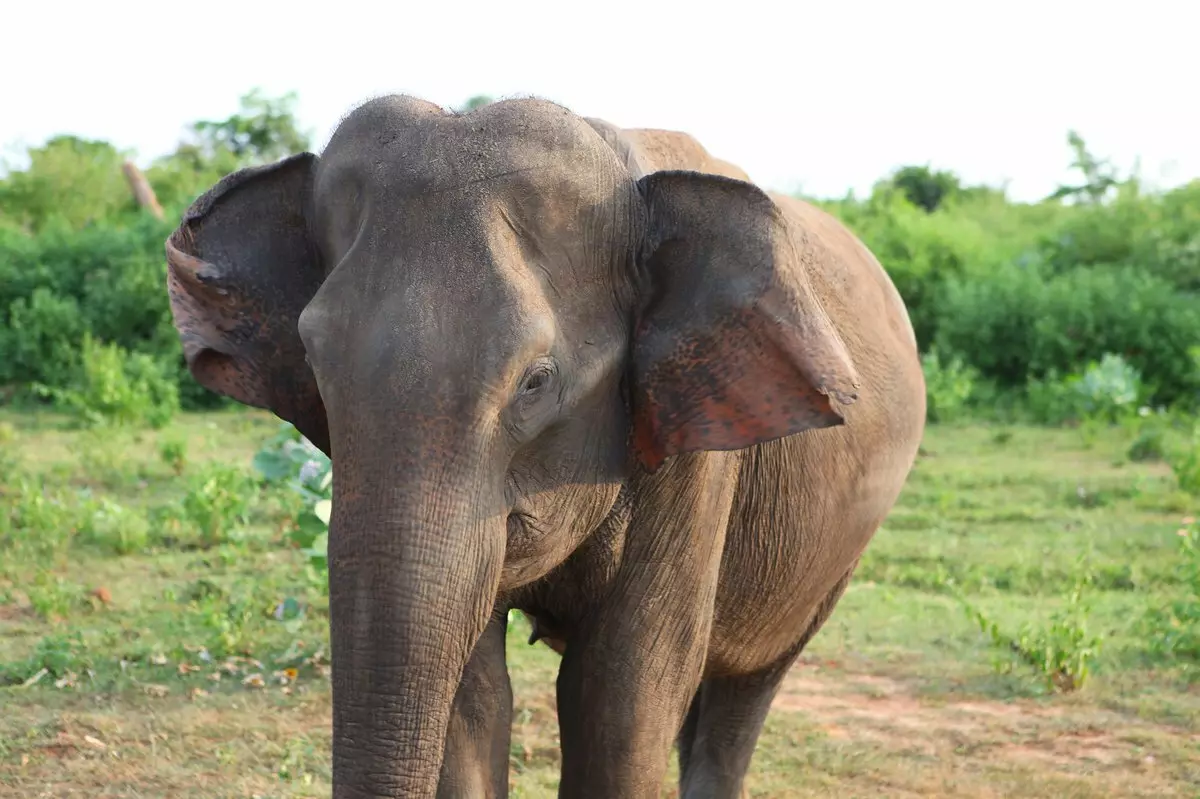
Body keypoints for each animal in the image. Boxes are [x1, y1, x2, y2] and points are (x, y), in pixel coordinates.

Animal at [164, 94, 921, 796]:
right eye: (315, 364)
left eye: (535, 382)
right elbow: (472, 698)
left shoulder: (697, 456)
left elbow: (619, 697)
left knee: (745, 688)